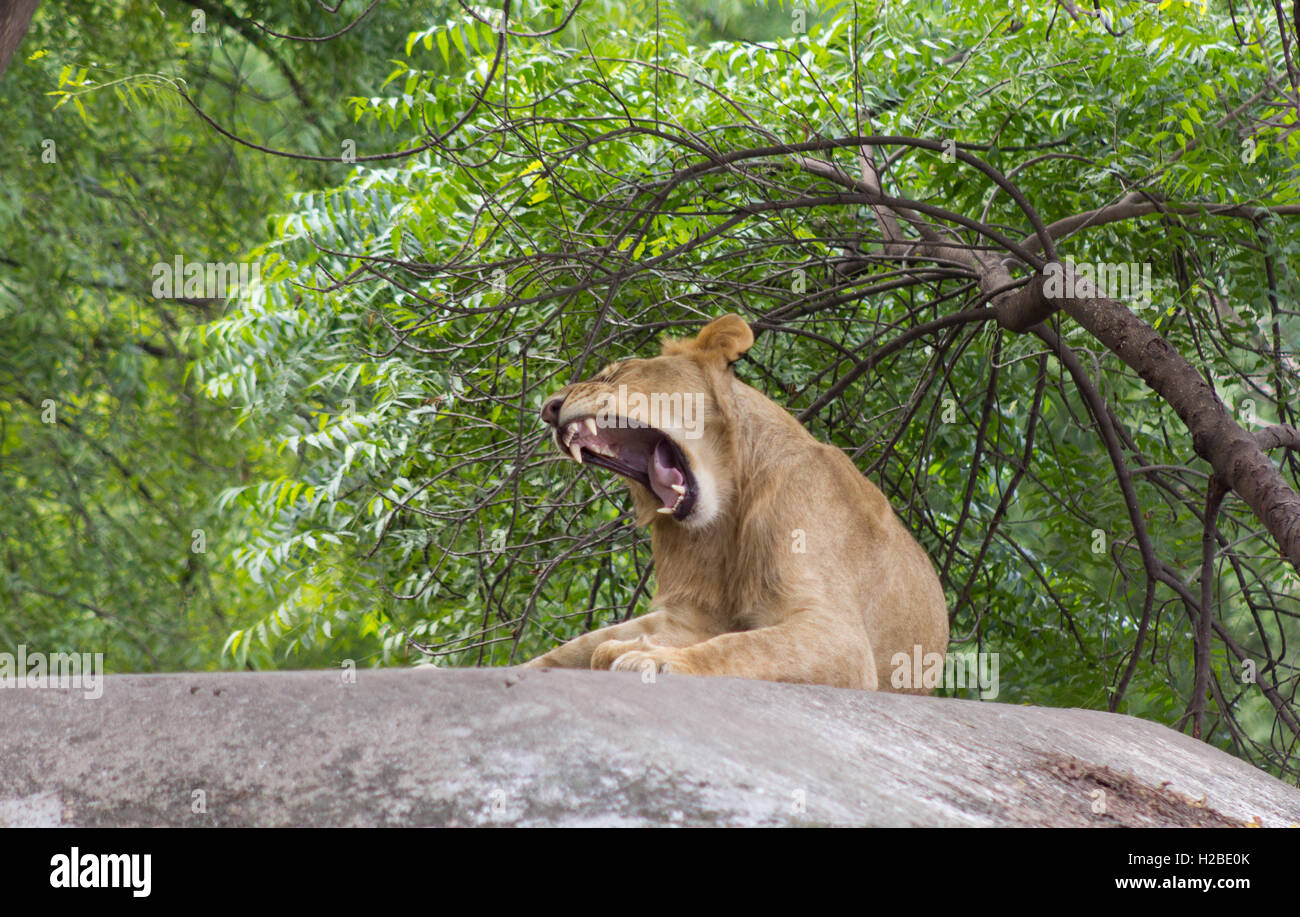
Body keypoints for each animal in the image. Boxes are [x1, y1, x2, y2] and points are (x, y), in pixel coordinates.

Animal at [523, 314, 949, 692]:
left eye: (613, 374)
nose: (546, 409)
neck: (730, 506)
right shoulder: (692, 617)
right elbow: (583, 649)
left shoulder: (841, 637)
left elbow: (742, 646)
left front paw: (658, 659)